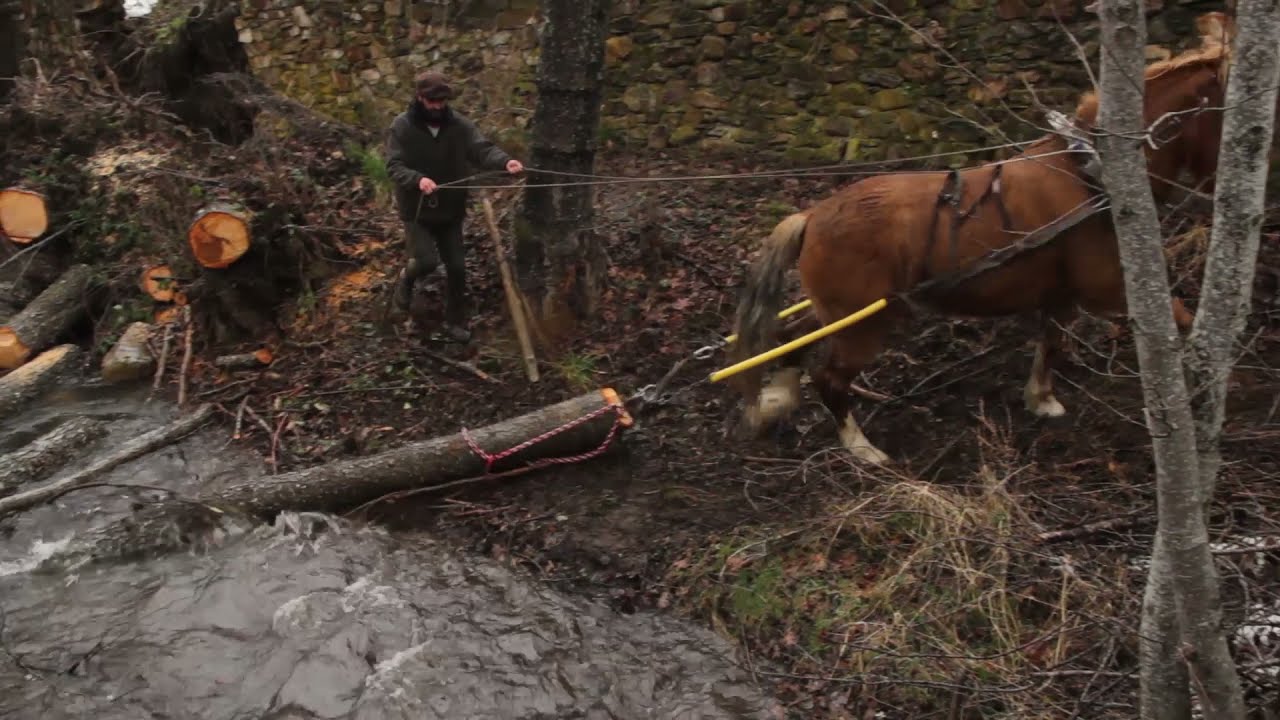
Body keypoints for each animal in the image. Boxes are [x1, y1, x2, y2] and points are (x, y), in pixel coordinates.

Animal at [724, 11, 1274, 466]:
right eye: (1228, 119)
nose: (1232, 184)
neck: (1089, 175)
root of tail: (813, 215)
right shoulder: (1111, 290)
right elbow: (1181, 319)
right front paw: (1222, 375)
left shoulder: (1061, 295)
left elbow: (1051, 344)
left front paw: (1042, 400)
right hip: (865, 323)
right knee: (831, 378)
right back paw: (861, 448)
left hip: (840, 313)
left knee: (793, 343)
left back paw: (775, 401)